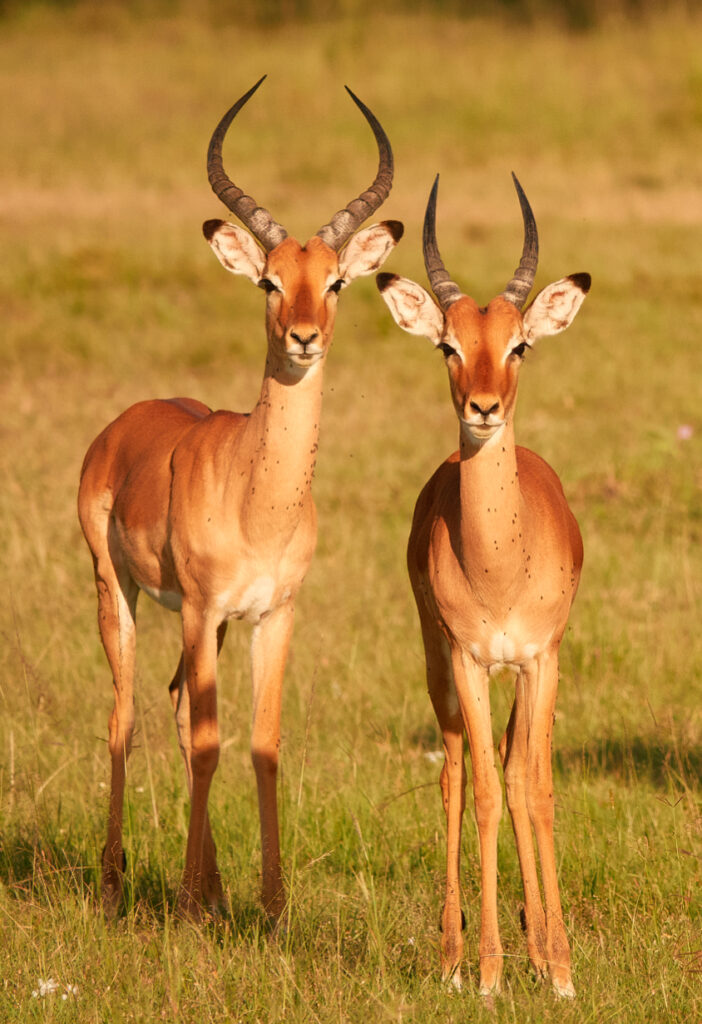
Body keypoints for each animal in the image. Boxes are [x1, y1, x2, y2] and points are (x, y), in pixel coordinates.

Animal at [78, 78, 402, 922]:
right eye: (268, 280)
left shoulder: (274, 613)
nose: (303, 336)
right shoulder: (198, 607)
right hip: (118, 590)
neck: (261, 500)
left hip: (212, 626)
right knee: (126, 715)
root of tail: (124, 424)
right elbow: (207, 744)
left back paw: (215, 891)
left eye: (335, 280)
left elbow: (260, 742)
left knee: (181, 708)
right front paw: (192, 903)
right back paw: (119, 884)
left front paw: (272, 904)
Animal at [377, 175, 589, 998]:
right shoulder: (470, 660)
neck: (500, 565)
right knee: (460, 775)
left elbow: (536, 790)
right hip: (437, 664)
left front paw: (557, 967)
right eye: (449, 344)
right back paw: (452, 955)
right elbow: (490, 797)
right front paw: (492, 973)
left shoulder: (540, 661)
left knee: (512, 765)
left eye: (518, 343)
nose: (483, 408)